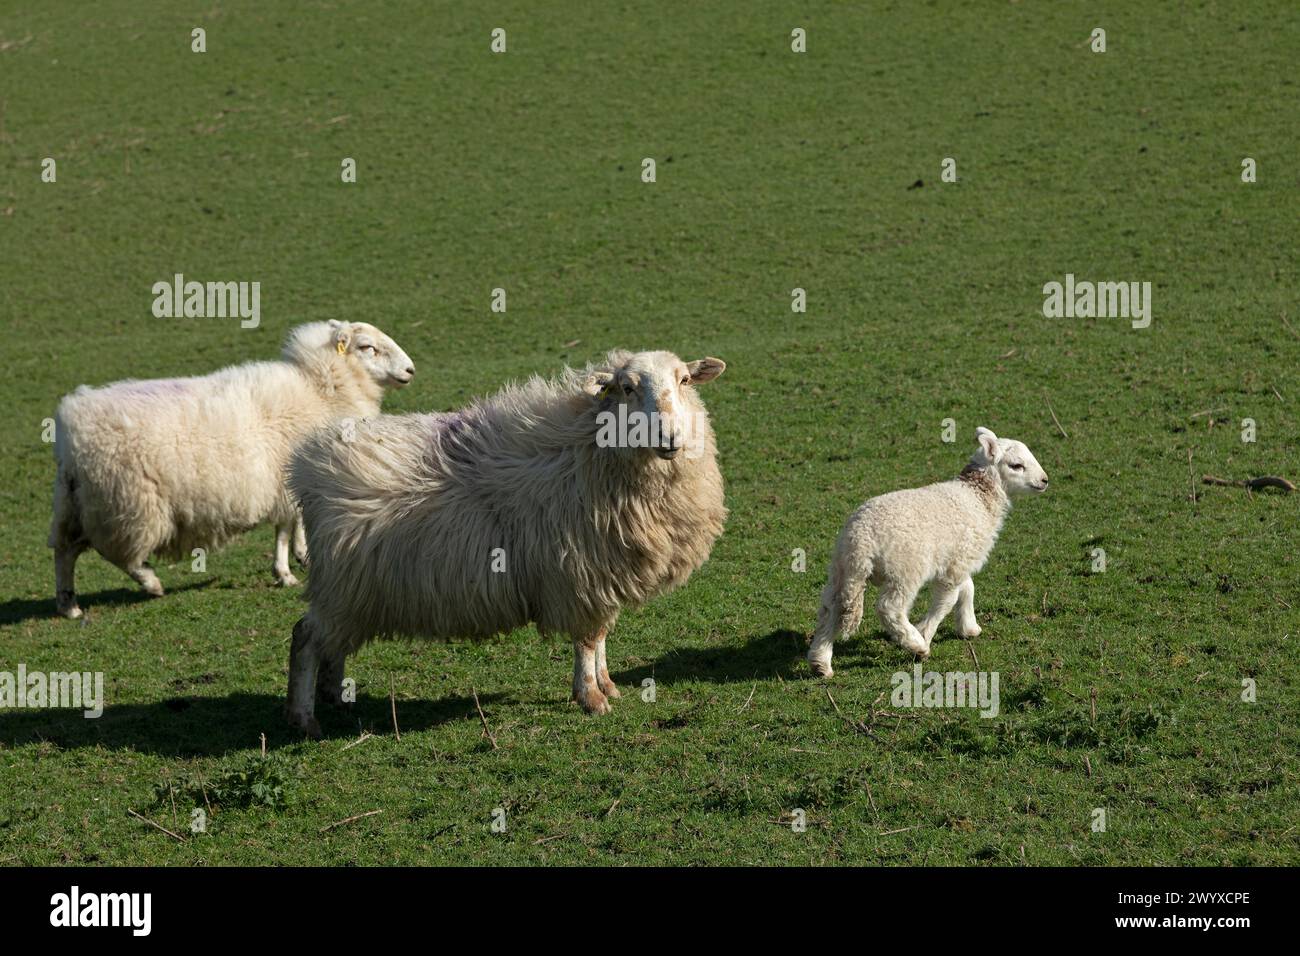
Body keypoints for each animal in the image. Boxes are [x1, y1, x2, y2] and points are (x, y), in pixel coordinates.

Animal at [48, 320, 415, 618]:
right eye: (367, 347)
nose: (410, 370)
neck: (320, 391)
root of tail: (71, 428)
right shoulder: (282, 482)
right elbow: (284, 528)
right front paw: (285, 572)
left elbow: (296, 521)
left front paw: (302, 555)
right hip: (128, 503)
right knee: (121, 556)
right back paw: (150, 583)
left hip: (77, 503)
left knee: (65, 551)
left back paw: (69, 605)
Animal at [284, 349, 728, 738]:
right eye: (627, 387)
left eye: (684, 380)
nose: (669, 437)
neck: (589, 451)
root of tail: (307, 463)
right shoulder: (580, 573)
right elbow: (587, 640)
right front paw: (591, 698)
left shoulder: (602, 574)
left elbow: (600, 636)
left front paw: (607, 685)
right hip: (342, 585)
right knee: (305, 638)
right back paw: (304, 719)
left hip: (352, 591)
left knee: (332, 644)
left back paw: (336, 694)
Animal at [807, 427, 1048, 675]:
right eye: (1016, 465)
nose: (1044, 480)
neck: (978, 497)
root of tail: (861, 540)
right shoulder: (956, 565)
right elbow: (948, 600)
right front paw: (926, 633)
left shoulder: (958, 558)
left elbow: (968, 589)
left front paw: (969, 627)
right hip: (905, 569)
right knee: (889, 608)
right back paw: (916, 645)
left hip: (841, 568)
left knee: (830, 607)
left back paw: (820, 662)